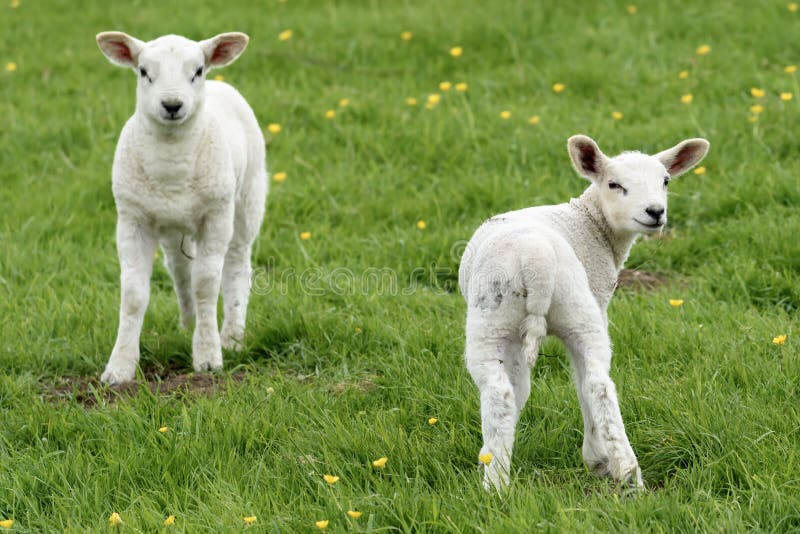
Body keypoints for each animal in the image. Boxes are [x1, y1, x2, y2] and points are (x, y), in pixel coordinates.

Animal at [95, 32, 267, 384]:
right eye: (143, 71)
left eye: (197, 70)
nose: (172, 105)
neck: (171, 162)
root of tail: (220, 85)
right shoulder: (132, 218)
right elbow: (133, 294)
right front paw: (119, 368)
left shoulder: (216, 216)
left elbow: (206, 284)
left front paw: (208, 356)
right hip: (173, 228)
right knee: (179, 270)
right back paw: (188, 324)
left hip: (246, 202)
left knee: (236, 267)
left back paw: (232, 336)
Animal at [459, 134, 709, 490]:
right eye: (614, 184)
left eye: (665, 181)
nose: (655, 211)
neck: (589, 222)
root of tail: (536, 260)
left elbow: (523, 389)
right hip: (543, 311)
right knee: (586, 385)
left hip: (509, 317)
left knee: (547, 389)